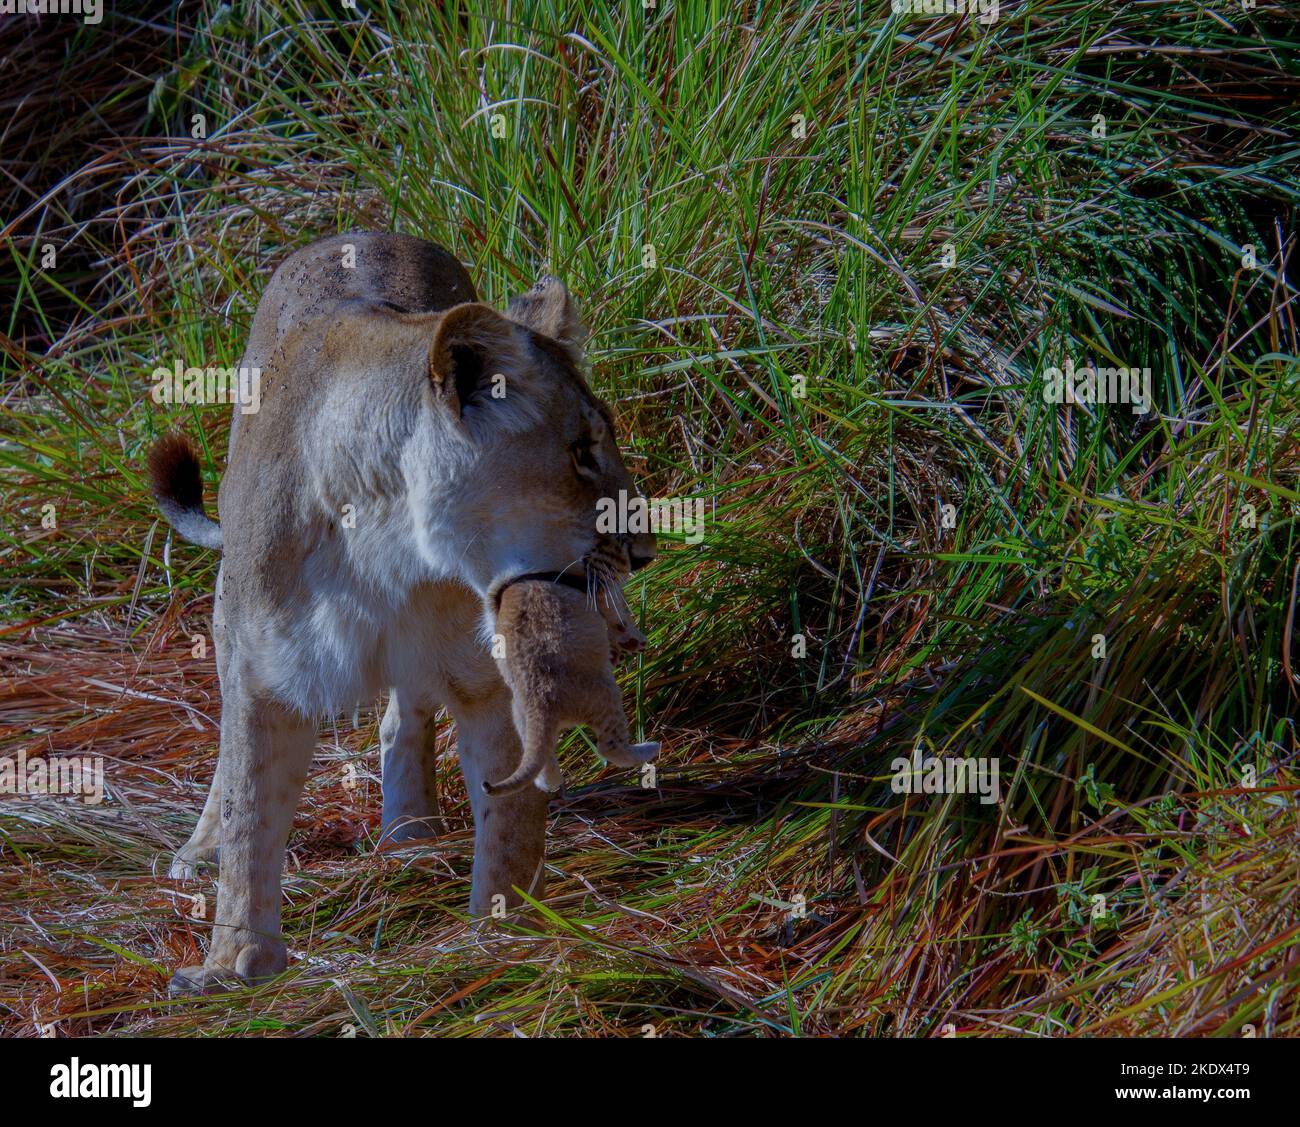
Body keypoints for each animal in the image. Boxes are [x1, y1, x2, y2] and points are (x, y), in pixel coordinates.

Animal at [149, 232, 655, 993]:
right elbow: (249, 811)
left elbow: (509, 814)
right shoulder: (264, 669)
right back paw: (198, 848)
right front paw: (231, 964)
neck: (392, 551)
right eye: (579, 452)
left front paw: (501, 932)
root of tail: (358, 233)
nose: (644, 551)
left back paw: (411, 828)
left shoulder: (488, 681)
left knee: (403, 714)